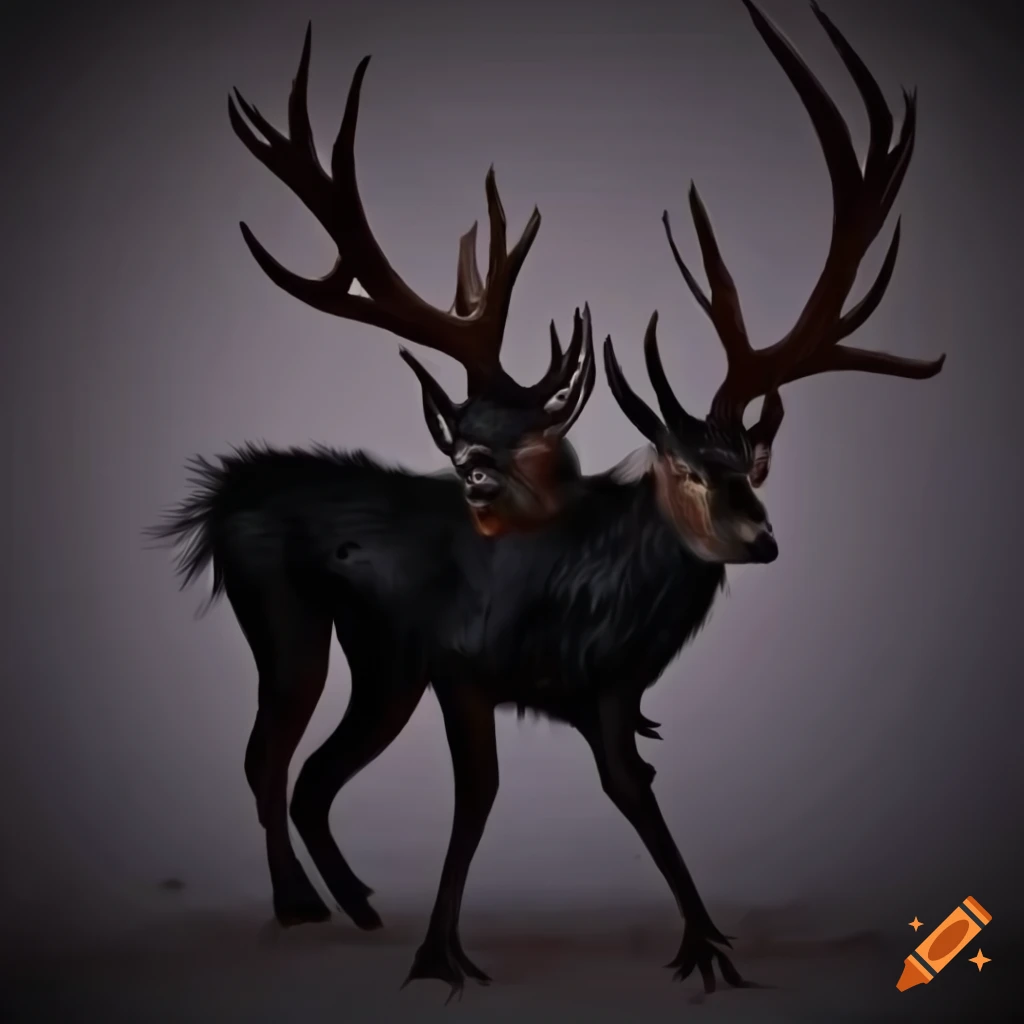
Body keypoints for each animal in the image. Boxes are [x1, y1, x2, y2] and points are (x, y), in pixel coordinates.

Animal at [151, 0, 945, 1001]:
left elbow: (635, 793)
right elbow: (479, 798)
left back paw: (357, 902)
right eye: (681, 466)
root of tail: (223, 496)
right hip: (290, 620)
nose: (761, 536)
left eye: (752, 467)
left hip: (383, 665)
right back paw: (301, 905)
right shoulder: (462, 667)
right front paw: (443, 954)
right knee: (270, 754)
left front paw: (709, 945)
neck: (584, 596)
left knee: (315, 776)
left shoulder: (608, 687)